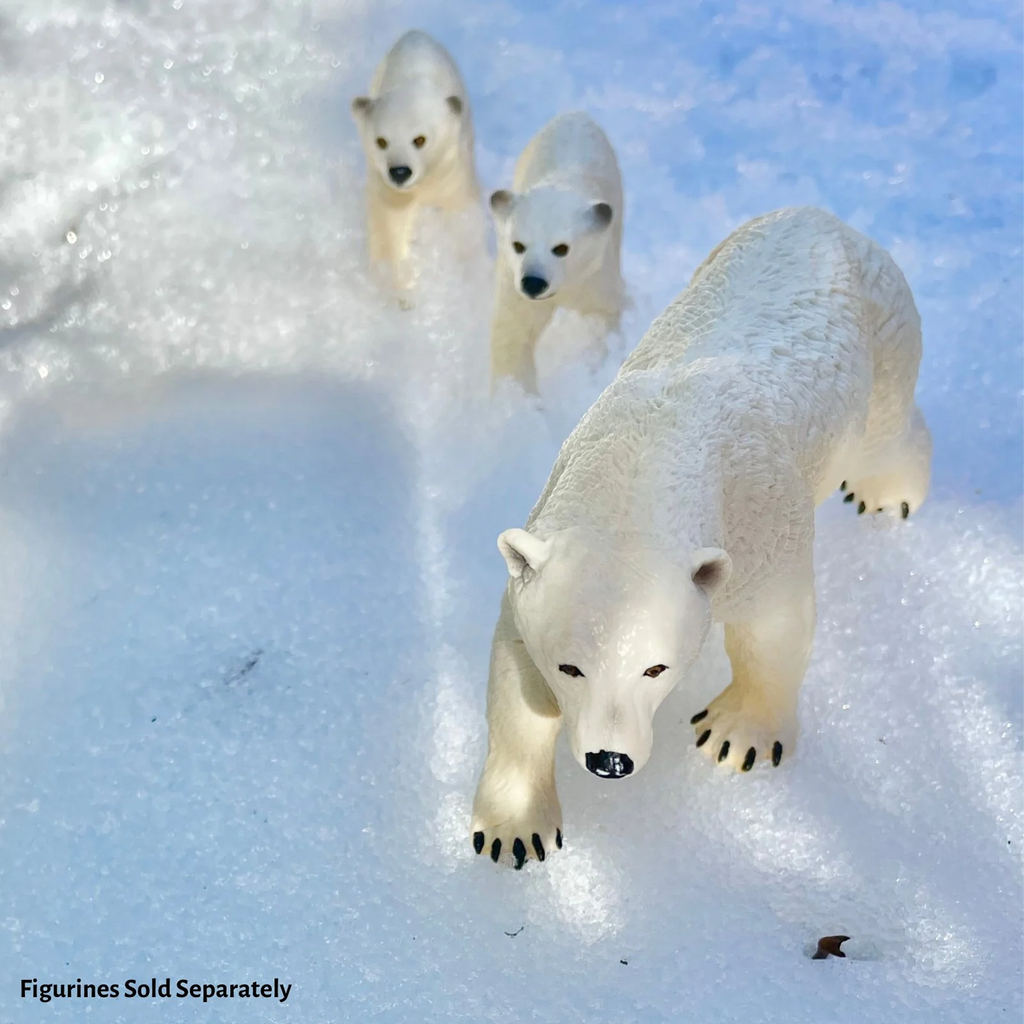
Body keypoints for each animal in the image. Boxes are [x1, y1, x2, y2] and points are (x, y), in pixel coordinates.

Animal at [351, 30, 480, 293]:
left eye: (420, 139)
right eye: (381, 141)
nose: (400, 172)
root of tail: (414, 33)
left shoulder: (453, 169)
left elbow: (464, 217)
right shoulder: (390, 190)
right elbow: (393, 226)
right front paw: (404, 288)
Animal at [470, 206, 932, 869]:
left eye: (656, 668)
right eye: (570, 666)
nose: (609, 761)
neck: (647, 458)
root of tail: (822, 217)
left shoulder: (758, 530)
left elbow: (773, 627)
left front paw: (736, 735)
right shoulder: (543, 541)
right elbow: (517, 675)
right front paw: (514, 831)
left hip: (885, 336)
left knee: (888, 431)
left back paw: (887, 492)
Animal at [488, 112, 624, 394]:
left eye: (561, 248)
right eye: (518, 244)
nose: (533, 283)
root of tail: (575, 113)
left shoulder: (595, 274)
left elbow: (600, 318)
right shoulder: (513, 283)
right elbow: (514, 332)